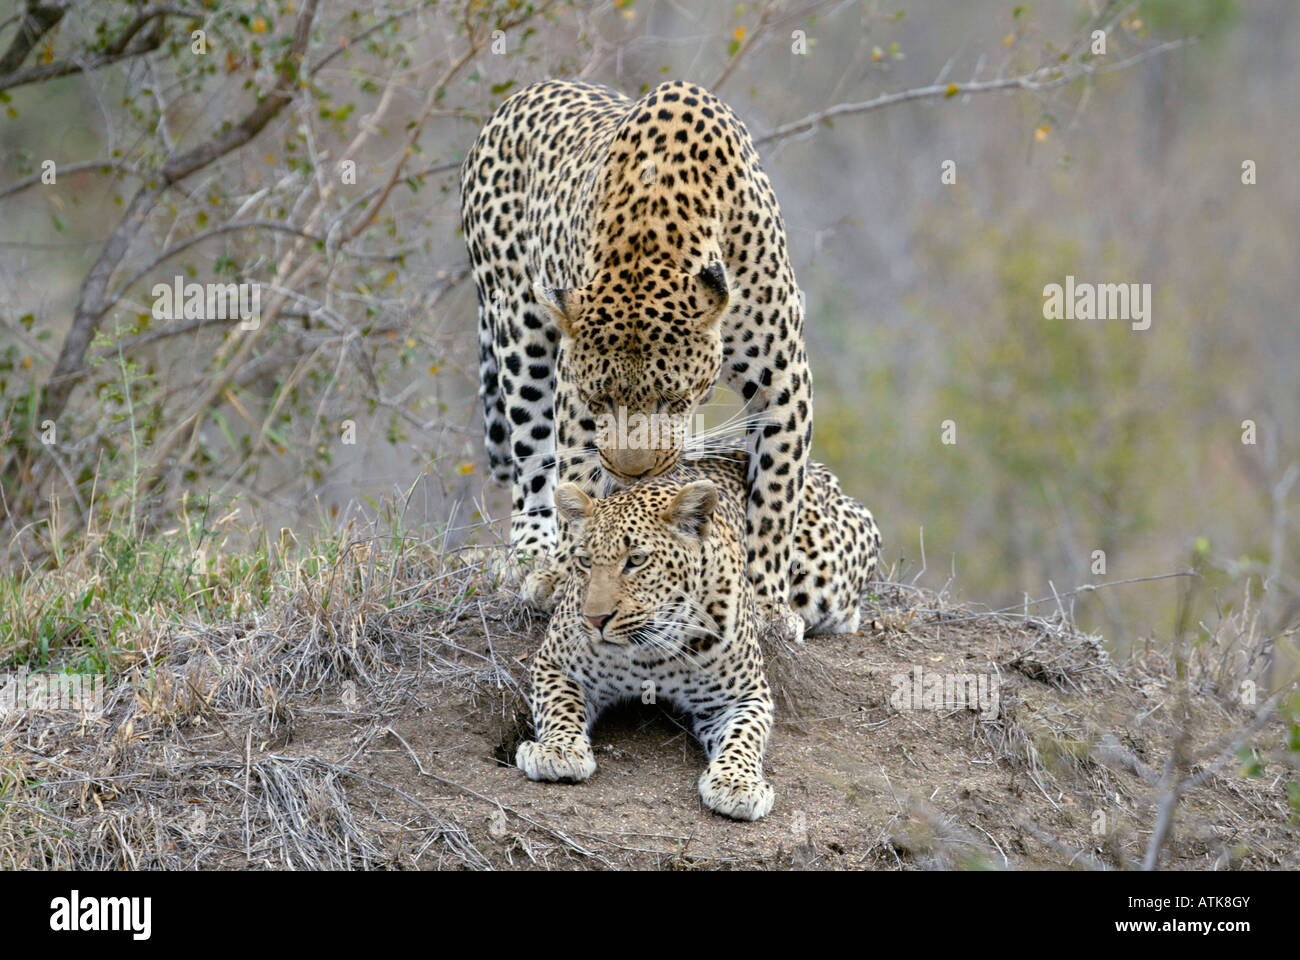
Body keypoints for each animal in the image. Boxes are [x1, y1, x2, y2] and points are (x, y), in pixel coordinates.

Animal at [460, 78, 814, 641]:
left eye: (675, 401)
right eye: (599, 399)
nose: (632, 472)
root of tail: (525, 91)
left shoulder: (782, 379)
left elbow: (776, 497)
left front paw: (769, 604)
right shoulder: (570, 388)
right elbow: (576, 477)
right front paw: (569, 577)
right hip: (517, 328)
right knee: (533, 457)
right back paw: (534, 554)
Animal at [515, 451, 880, 821]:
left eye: (636, 560)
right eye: (585, 561)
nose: (594, 618)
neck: (650, 653)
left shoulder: (744, 694)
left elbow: (744, 734)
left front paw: (738, 784)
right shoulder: (554, 664)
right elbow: (560, 705)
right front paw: (557, 750)